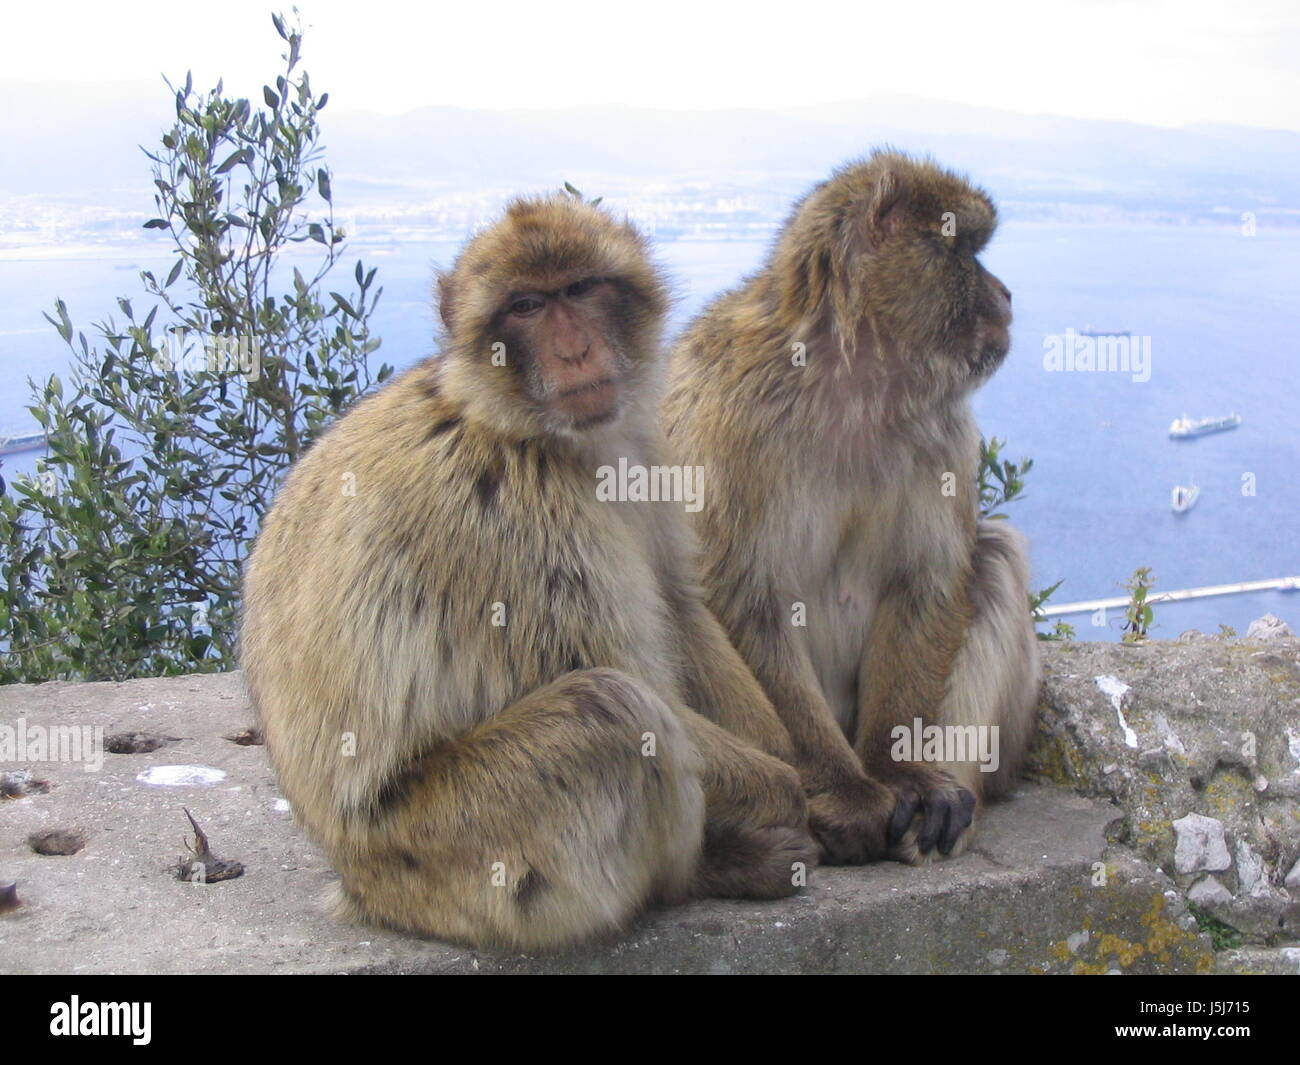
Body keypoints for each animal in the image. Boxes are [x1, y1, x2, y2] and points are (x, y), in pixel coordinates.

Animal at [240, 194, 817, 952]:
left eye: (580, 290)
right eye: (524, 306)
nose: (574, 351)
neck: (536, 435)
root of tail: (357, 884)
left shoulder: (640, 449)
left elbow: (679, 604)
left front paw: (794, 760)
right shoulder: (505, 509)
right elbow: (635, 678)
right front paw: (796, 793)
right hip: (462, 859)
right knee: (611, 708)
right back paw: (707, 870)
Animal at [662, 150, 1041, 867]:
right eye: (962, 248)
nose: (1007, 293)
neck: (853, 385)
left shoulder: (945, 431)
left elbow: (925, 580)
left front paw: (904, 775)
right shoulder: (729, 416)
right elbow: (739, 595)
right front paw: (845, 794)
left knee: (995, 555)